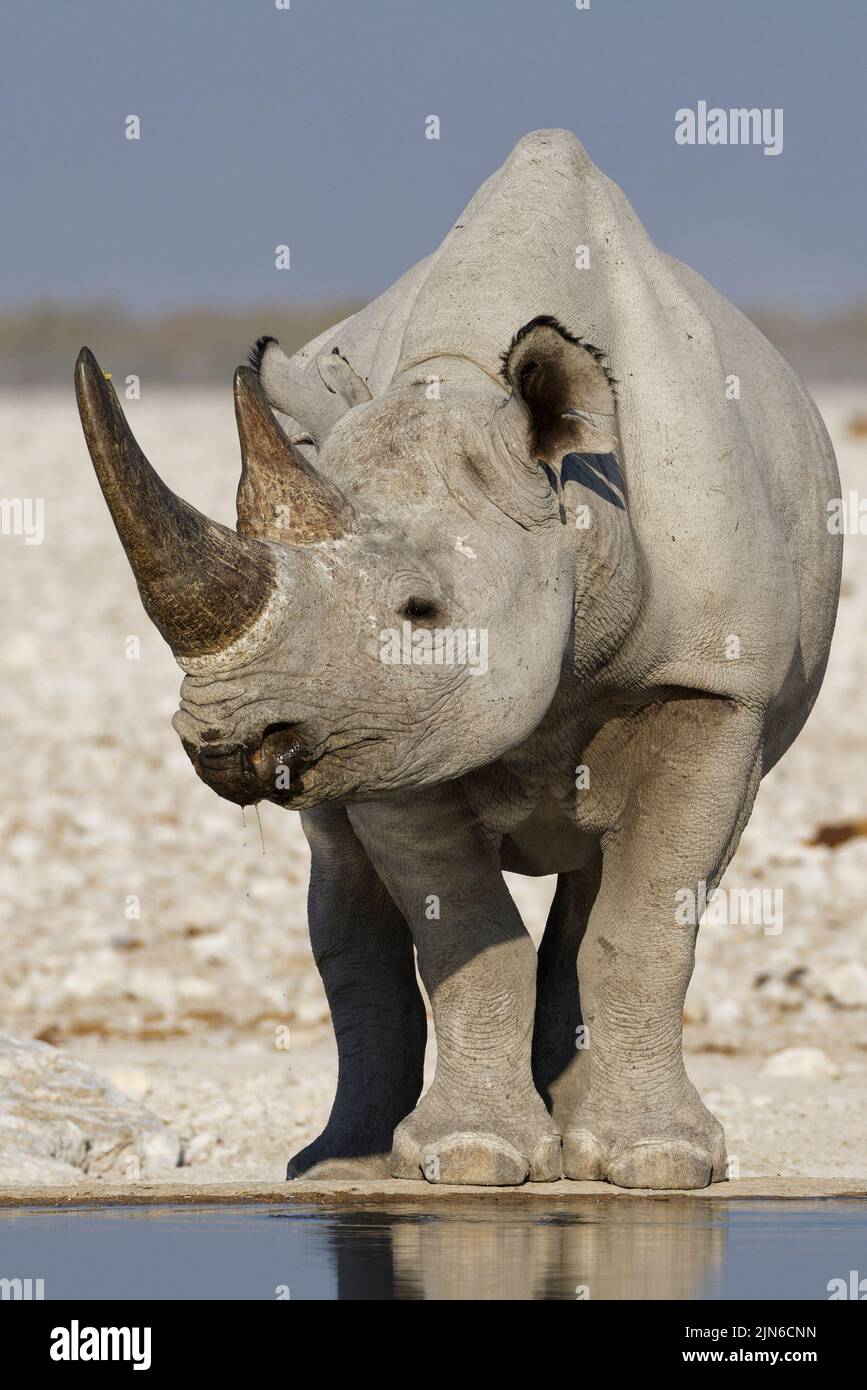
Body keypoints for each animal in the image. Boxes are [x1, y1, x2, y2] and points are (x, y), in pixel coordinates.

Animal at [75, 130, 840, 1189]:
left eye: (421, 608)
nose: (225, 742)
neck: (575, 514)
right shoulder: (386, 726)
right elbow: (468, 935)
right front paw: (472, 1158)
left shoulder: (714, 687)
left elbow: (645, 927)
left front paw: (658, 1163)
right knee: (343, 890)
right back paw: (342, 1167)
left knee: (597, 890)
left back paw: (574, 1145)